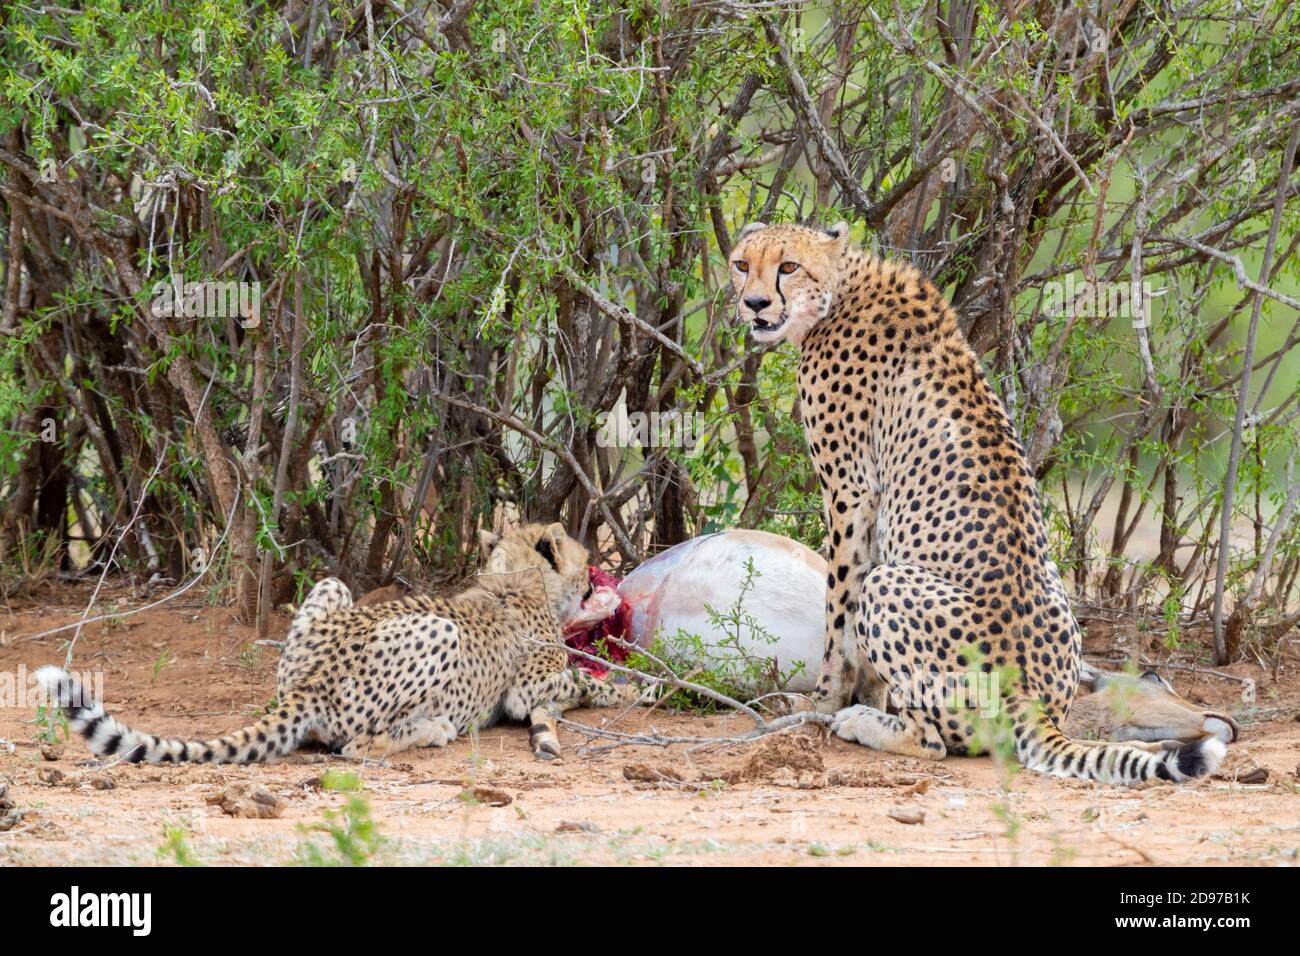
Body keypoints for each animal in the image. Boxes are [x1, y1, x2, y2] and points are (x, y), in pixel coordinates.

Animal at [37, 522, 639, 764]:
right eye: (585, 564)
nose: (598, 577)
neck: (513, 579)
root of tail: (306, 686)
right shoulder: (526, 689)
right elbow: (585, 684)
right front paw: (635, 689)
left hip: (333, 589)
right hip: (435, 634)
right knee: (355, 746)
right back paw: (433, 729)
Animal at [728, 220, 1226, 784]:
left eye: (788, 266)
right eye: (743, 264)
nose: (754, 303)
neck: (840, 291)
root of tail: (1032, 701)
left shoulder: (851, 493)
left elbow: (839, 611)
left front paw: (825, 703)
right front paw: (868, 695)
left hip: (893, 586)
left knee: (935, 740)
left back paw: (865, 724)